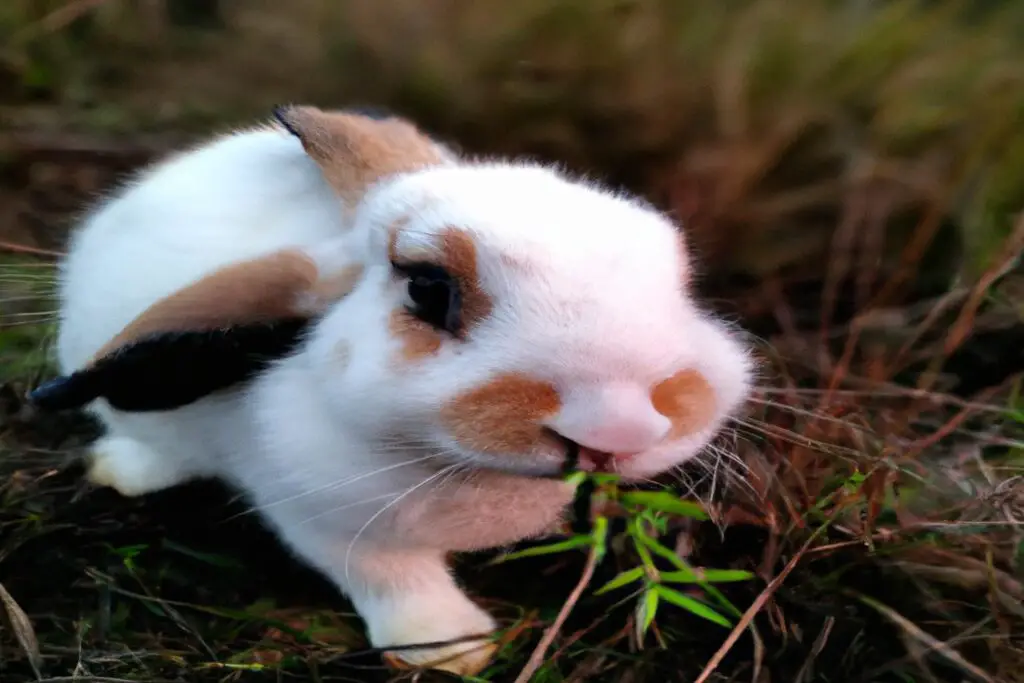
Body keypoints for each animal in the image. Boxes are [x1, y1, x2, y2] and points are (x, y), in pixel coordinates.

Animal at [45, 105, 755, 675]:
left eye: (677, 278)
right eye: (428, 289)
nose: (621, 429)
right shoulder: (326, 520)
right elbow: (396, 581)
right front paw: (454, 652)